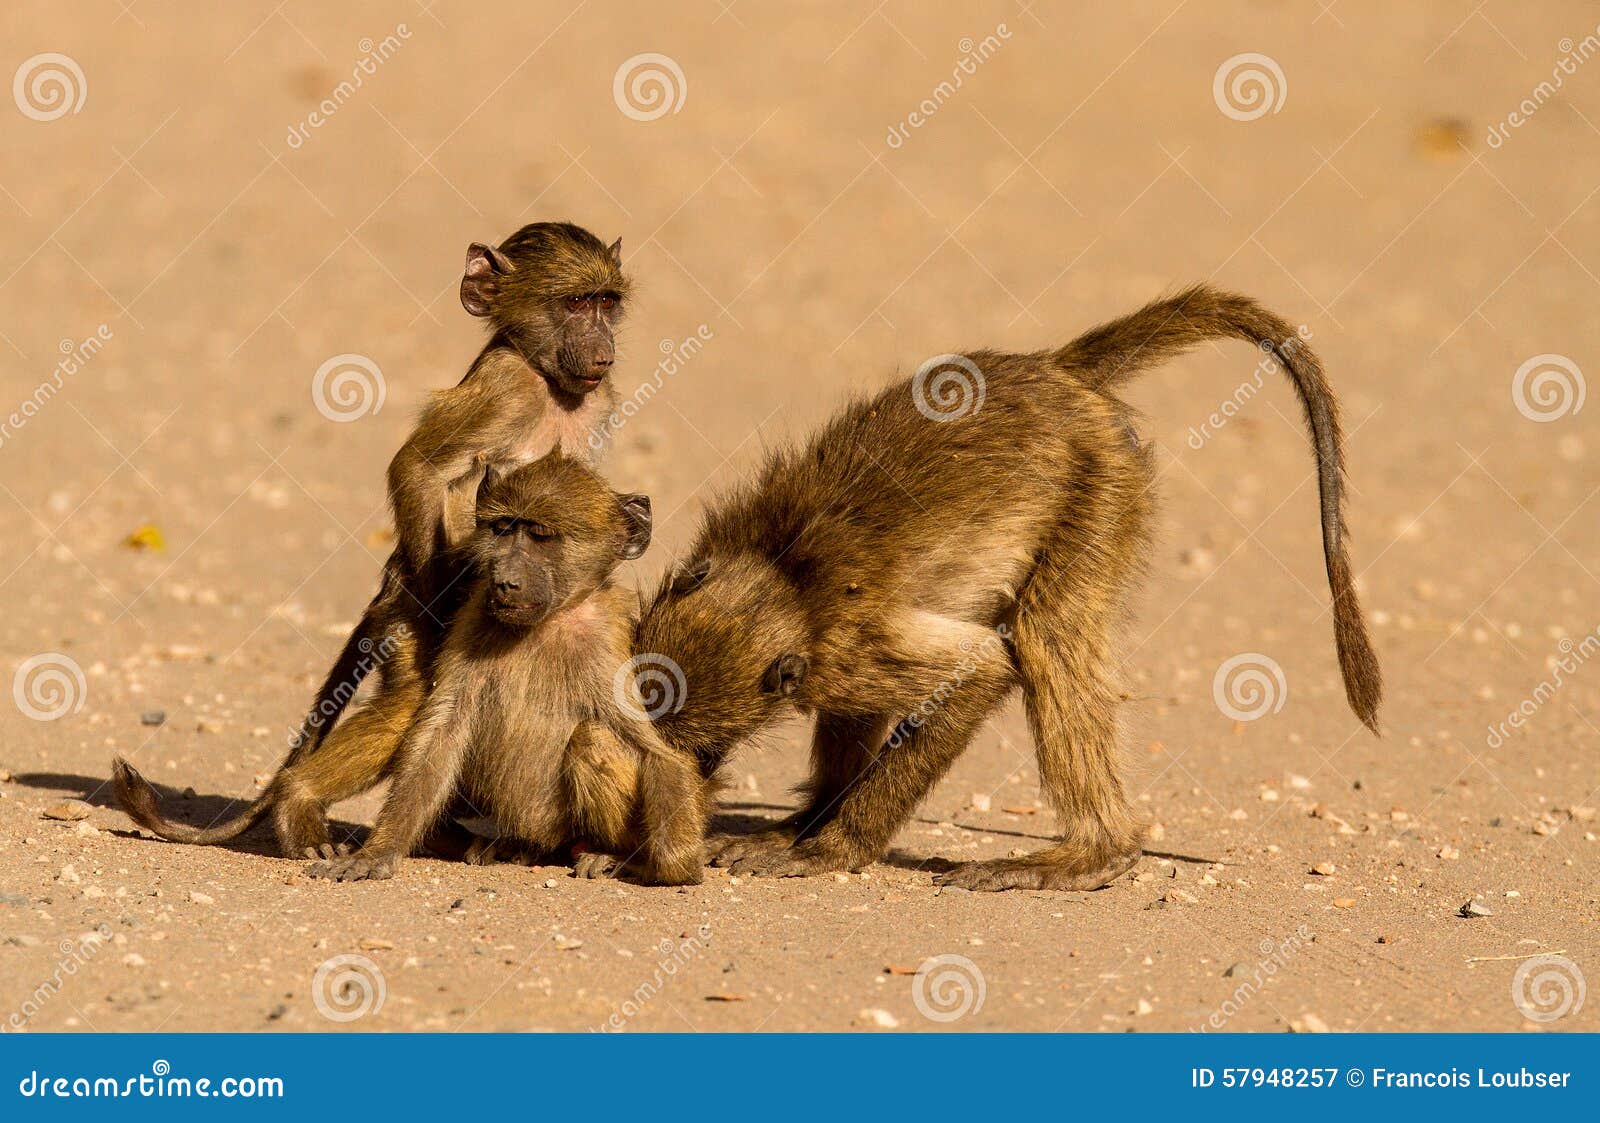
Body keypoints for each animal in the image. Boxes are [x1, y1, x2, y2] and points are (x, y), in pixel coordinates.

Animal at [630, 283, 1382, 893]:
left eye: (703, 753)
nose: (694, 781)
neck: (786, 578)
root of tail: (1057, 369)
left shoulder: (848, 652)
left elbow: (984, 671)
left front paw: (827, 850)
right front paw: (803, 827)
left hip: (1101, 485)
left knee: (1047, 634)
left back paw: (1095, 855)